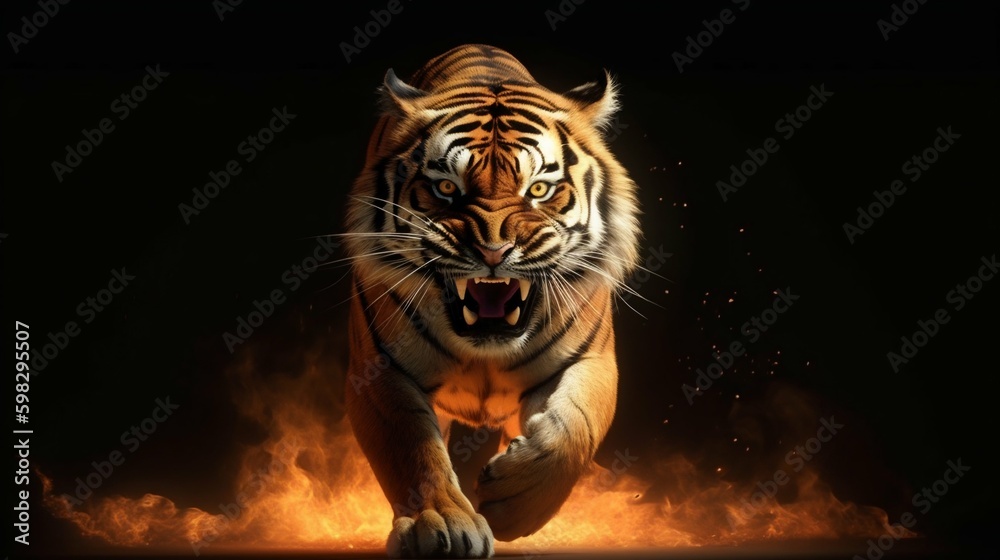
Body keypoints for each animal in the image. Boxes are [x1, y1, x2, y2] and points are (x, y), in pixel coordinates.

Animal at [343, 44, 642, 558]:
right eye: (446, 188)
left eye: (539, 189)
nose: (493, 251)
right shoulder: (379, 368)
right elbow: (413, 452)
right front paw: (442, 524)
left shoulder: (591, 359)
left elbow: (574, 430)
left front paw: (512, 505)